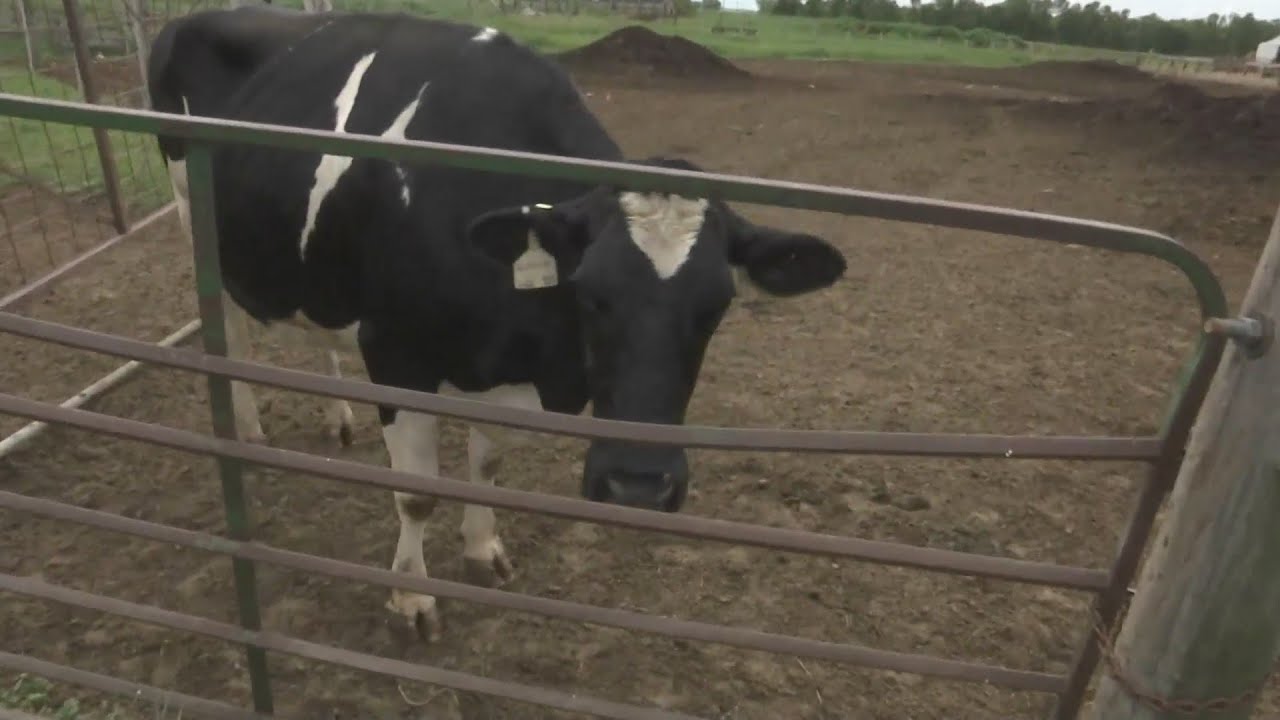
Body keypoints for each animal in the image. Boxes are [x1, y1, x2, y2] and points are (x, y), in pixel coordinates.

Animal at [147, 6, 847, 640]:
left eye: (717, 305)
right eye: (590, 291)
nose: (637, 486)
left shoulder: (502, 369)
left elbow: (487, 467)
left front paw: (483, 553)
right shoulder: (395, 353)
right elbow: (416, 493)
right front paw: (411, 600)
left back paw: (335, 415)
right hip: (193, 221)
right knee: (228, 327)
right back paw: (244, 429)